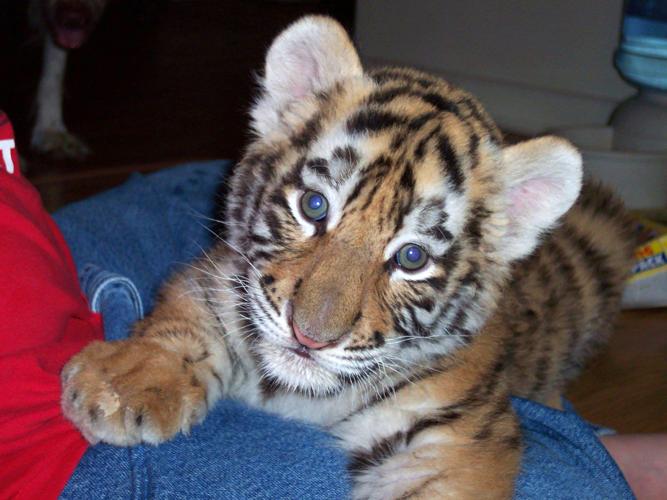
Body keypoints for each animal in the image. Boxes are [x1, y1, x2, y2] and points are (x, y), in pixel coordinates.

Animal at [61, 15, 634, 499]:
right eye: (315, 206)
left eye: (412, 258)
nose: (310, 338)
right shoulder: (221, 280)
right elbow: (184, 328)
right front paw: (119, 386)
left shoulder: (451, 436)